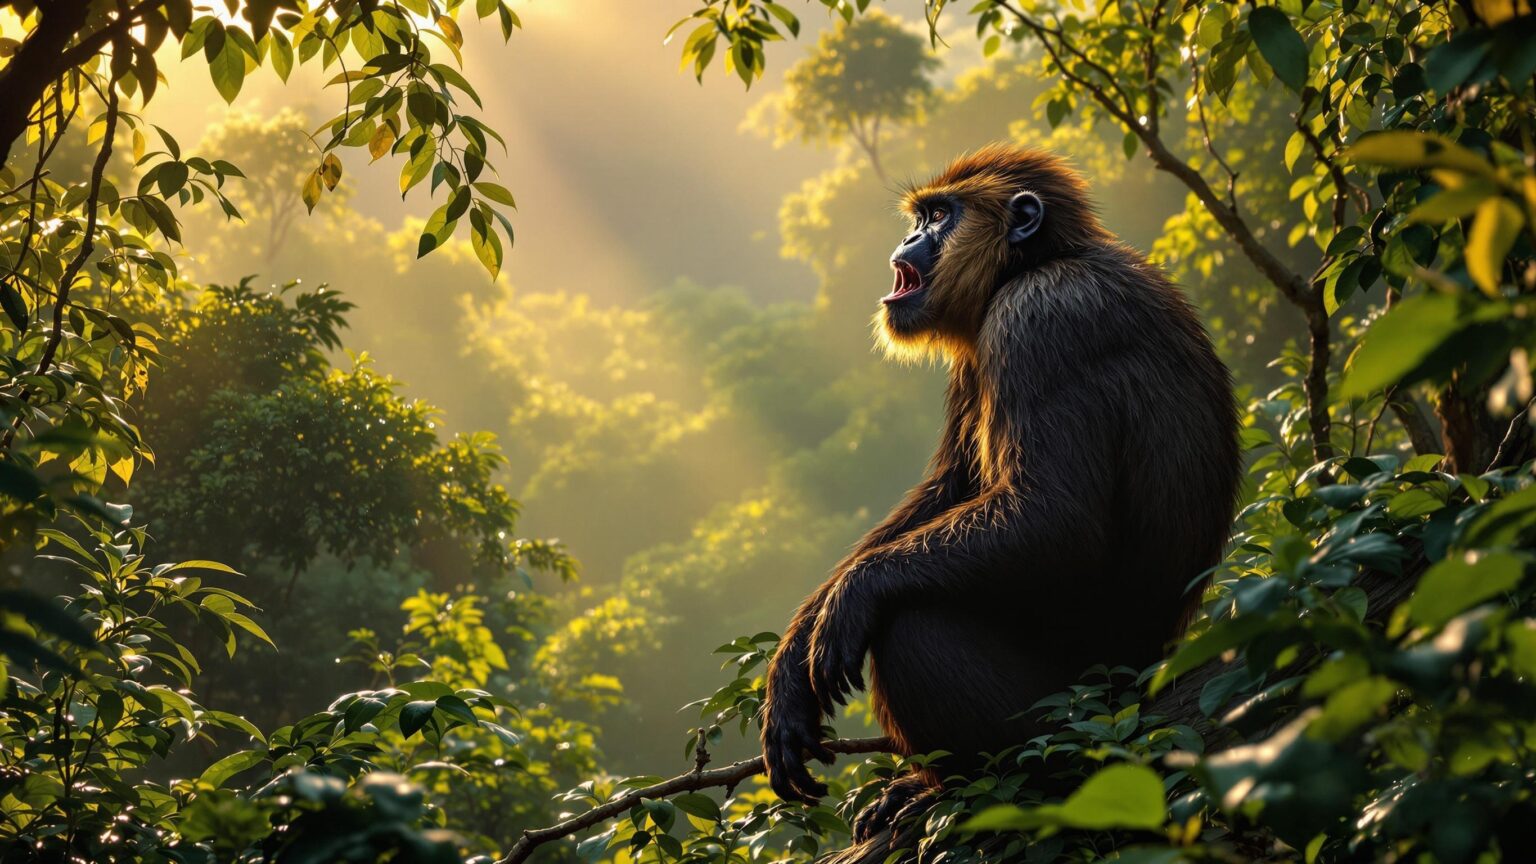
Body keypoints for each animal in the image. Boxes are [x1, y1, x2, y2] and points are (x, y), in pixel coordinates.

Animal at [759, 144, 1241, 841]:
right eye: (922, 216)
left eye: (939, 215)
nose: (909, 238)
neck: (1030, 264)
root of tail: (1146, 679)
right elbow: (949, 488)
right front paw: (790, 669)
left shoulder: (1038, 321)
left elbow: (1050, 516)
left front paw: (851, 596)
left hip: (1070, 723)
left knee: (912, 631)